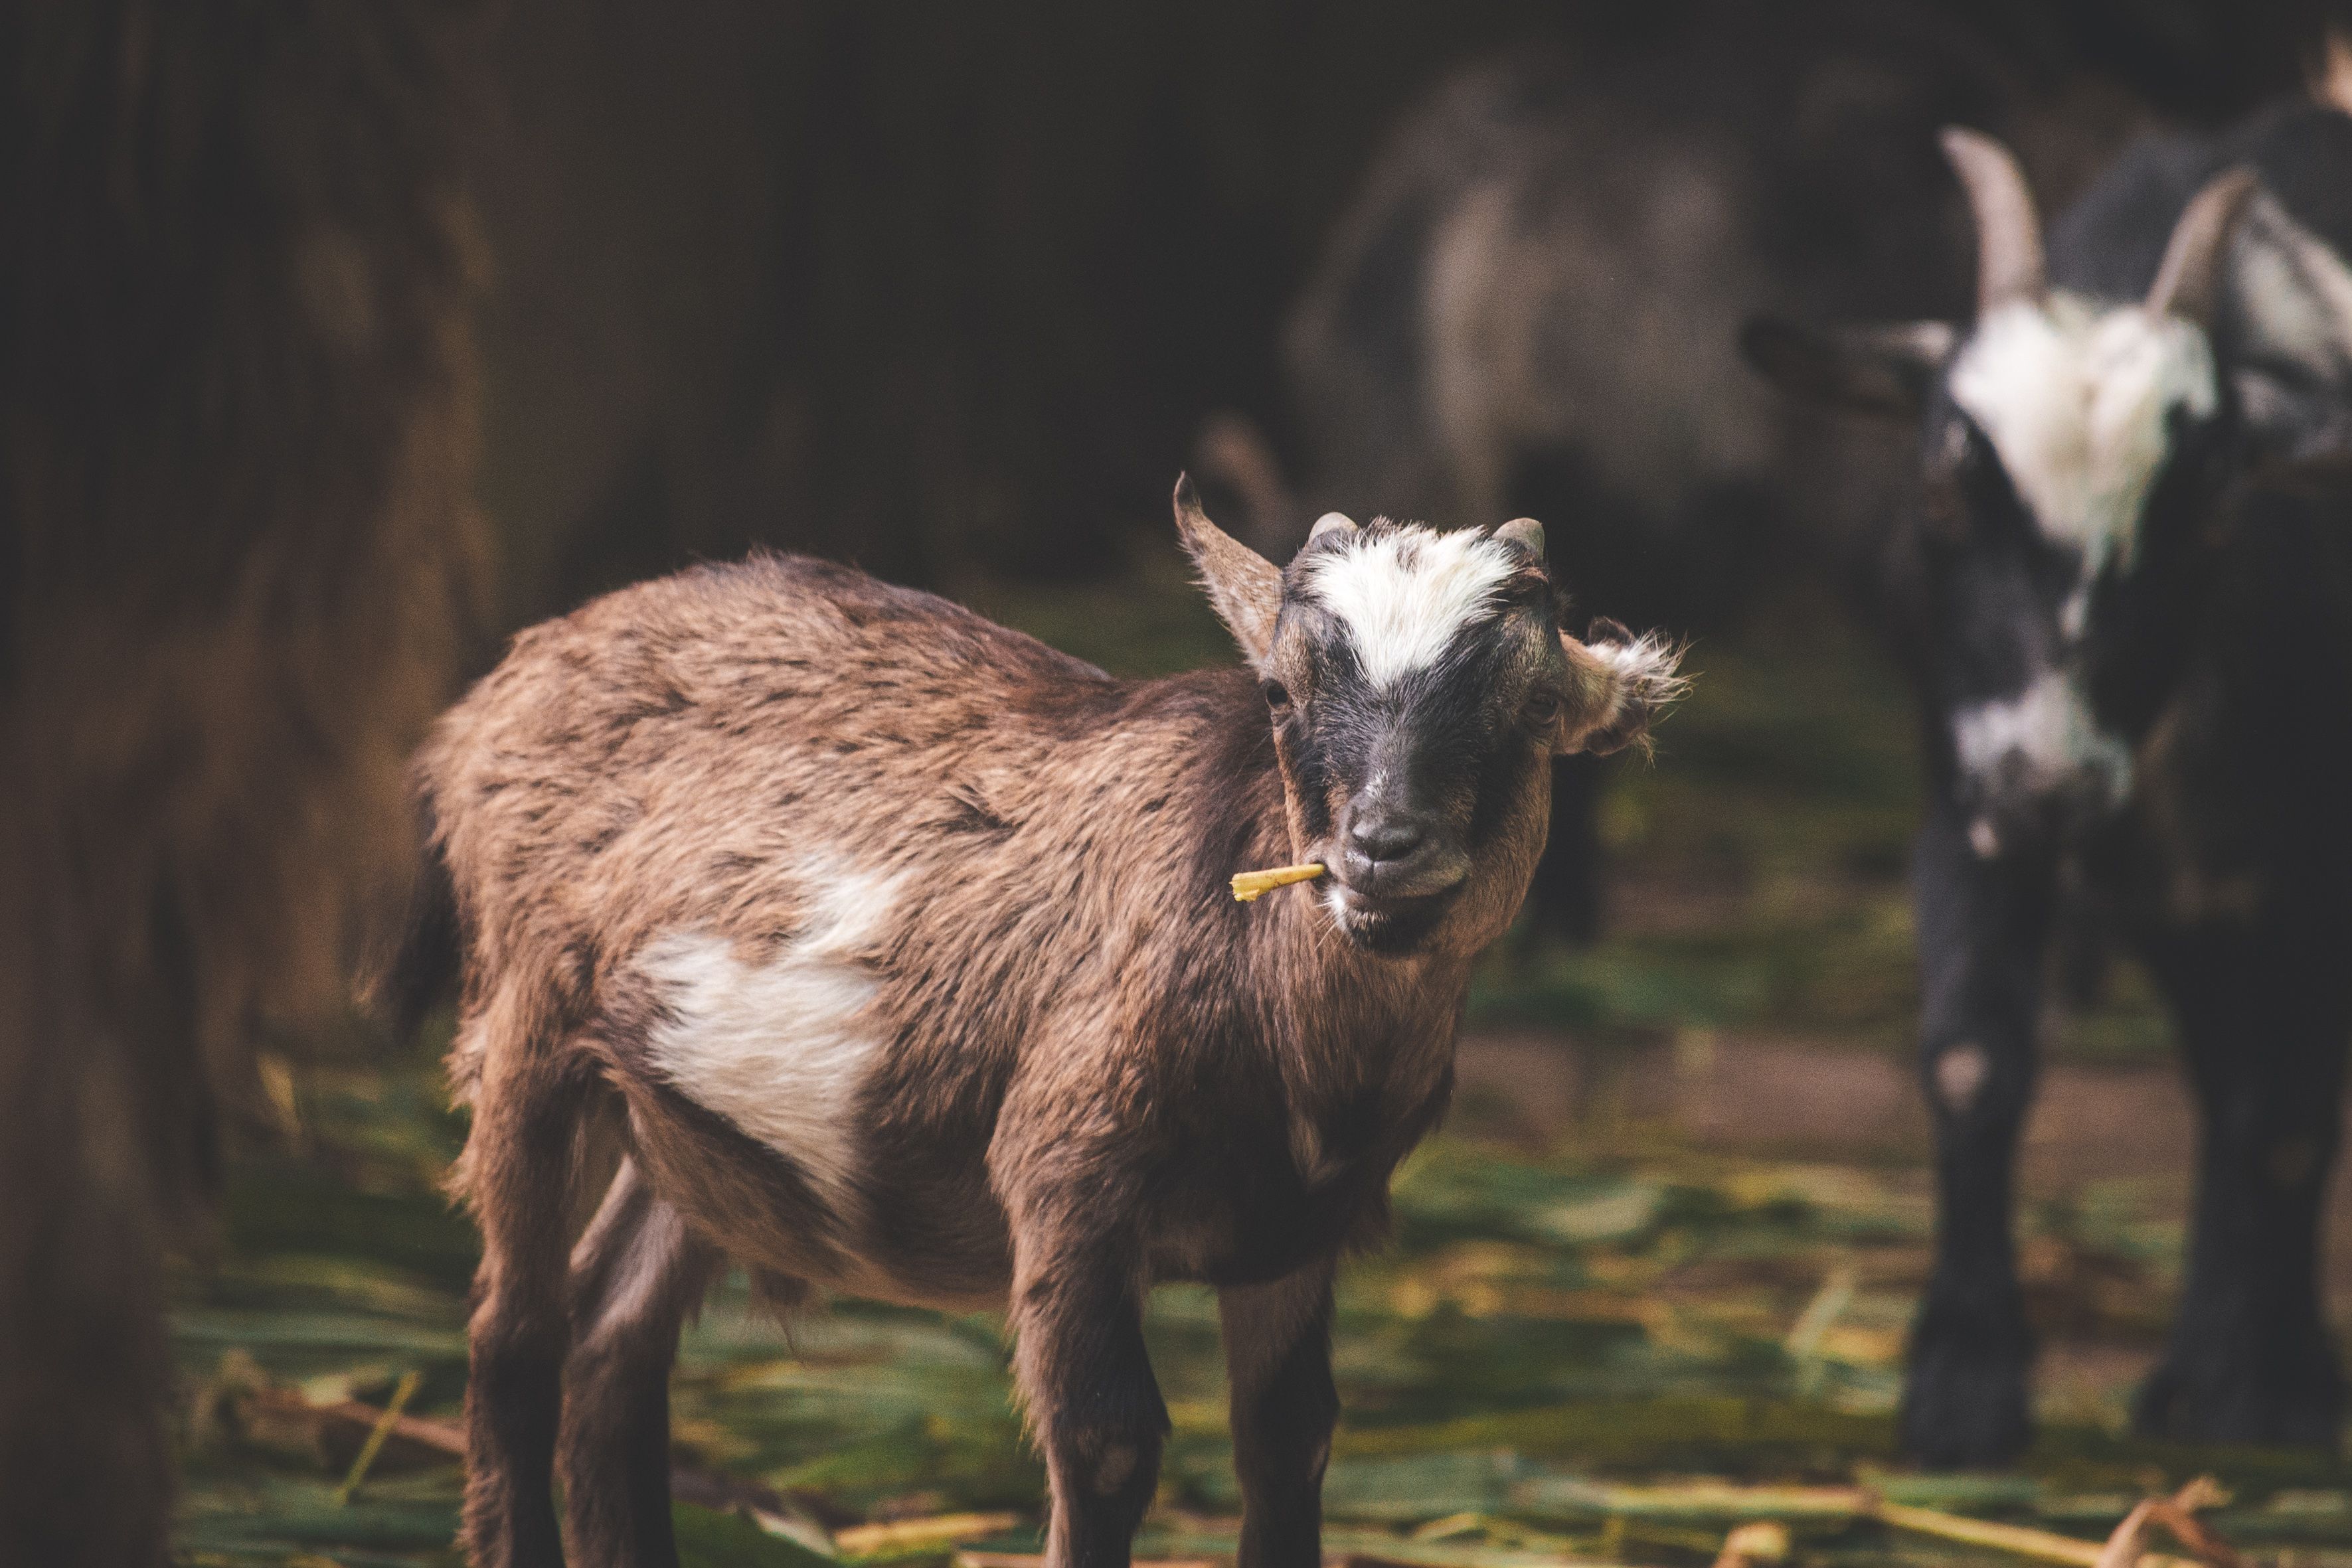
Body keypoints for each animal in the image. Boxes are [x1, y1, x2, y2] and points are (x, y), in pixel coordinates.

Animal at [398, 482, 1680, 1568]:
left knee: (613, 1336)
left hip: (694, 1128)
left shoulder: (1294, 1229)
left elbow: (1289, 1442)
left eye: (1532, 706)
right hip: (526, 1021)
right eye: (1279, 692)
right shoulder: (1069, 1174)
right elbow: (1107, 1446)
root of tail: (497, 689)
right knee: (515, 1334)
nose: (1381, 847)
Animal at [1745, 102, 2352, 1463]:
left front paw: (2260, 1396)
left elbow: (2287, 1116)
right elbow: (1975, 1059)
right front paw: (1962, 1387)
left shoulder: (2309, 861)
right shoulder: (1959, 795)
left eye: (2209, 508)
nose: (2049, 784)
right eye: (1939, 482)